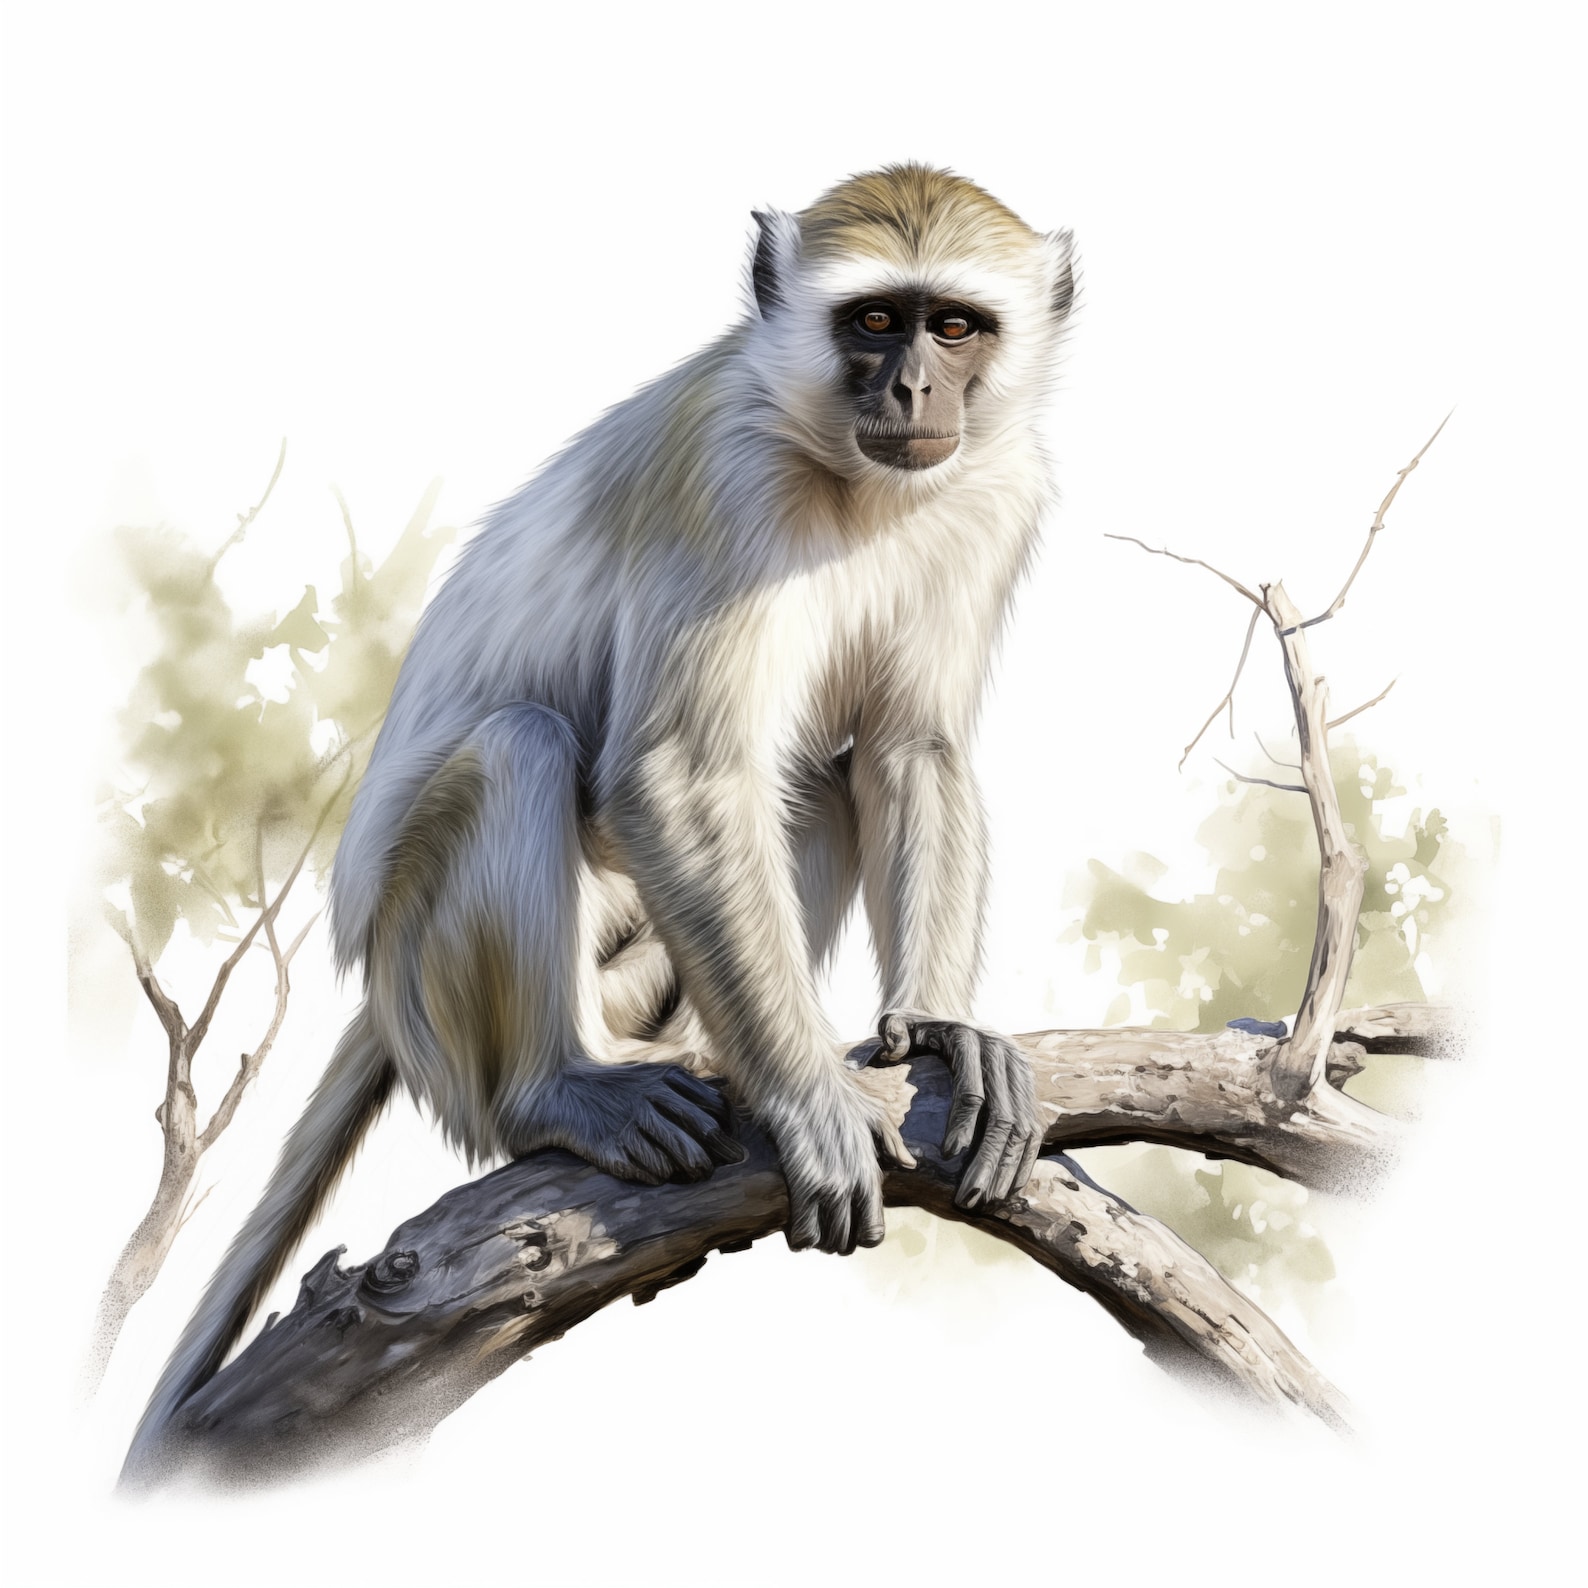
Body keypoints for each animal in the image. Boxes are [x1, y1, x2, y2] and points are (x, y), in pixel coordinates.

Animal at [123, 164, 1076, 1480]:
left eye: (956, 326)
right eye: (878, 321)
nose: (913, 389)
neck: (849, 476)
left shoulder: (997, 488)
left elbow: (907, 751)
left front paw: (939, 1030)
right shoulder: (724, 475)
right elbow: (676, 775)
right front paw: (806, 1103)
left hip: (633, 970)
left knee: (820, 778)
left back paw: (696, 1053)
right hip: (433, 991)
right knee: (521, 746)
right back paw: (559, 1093)